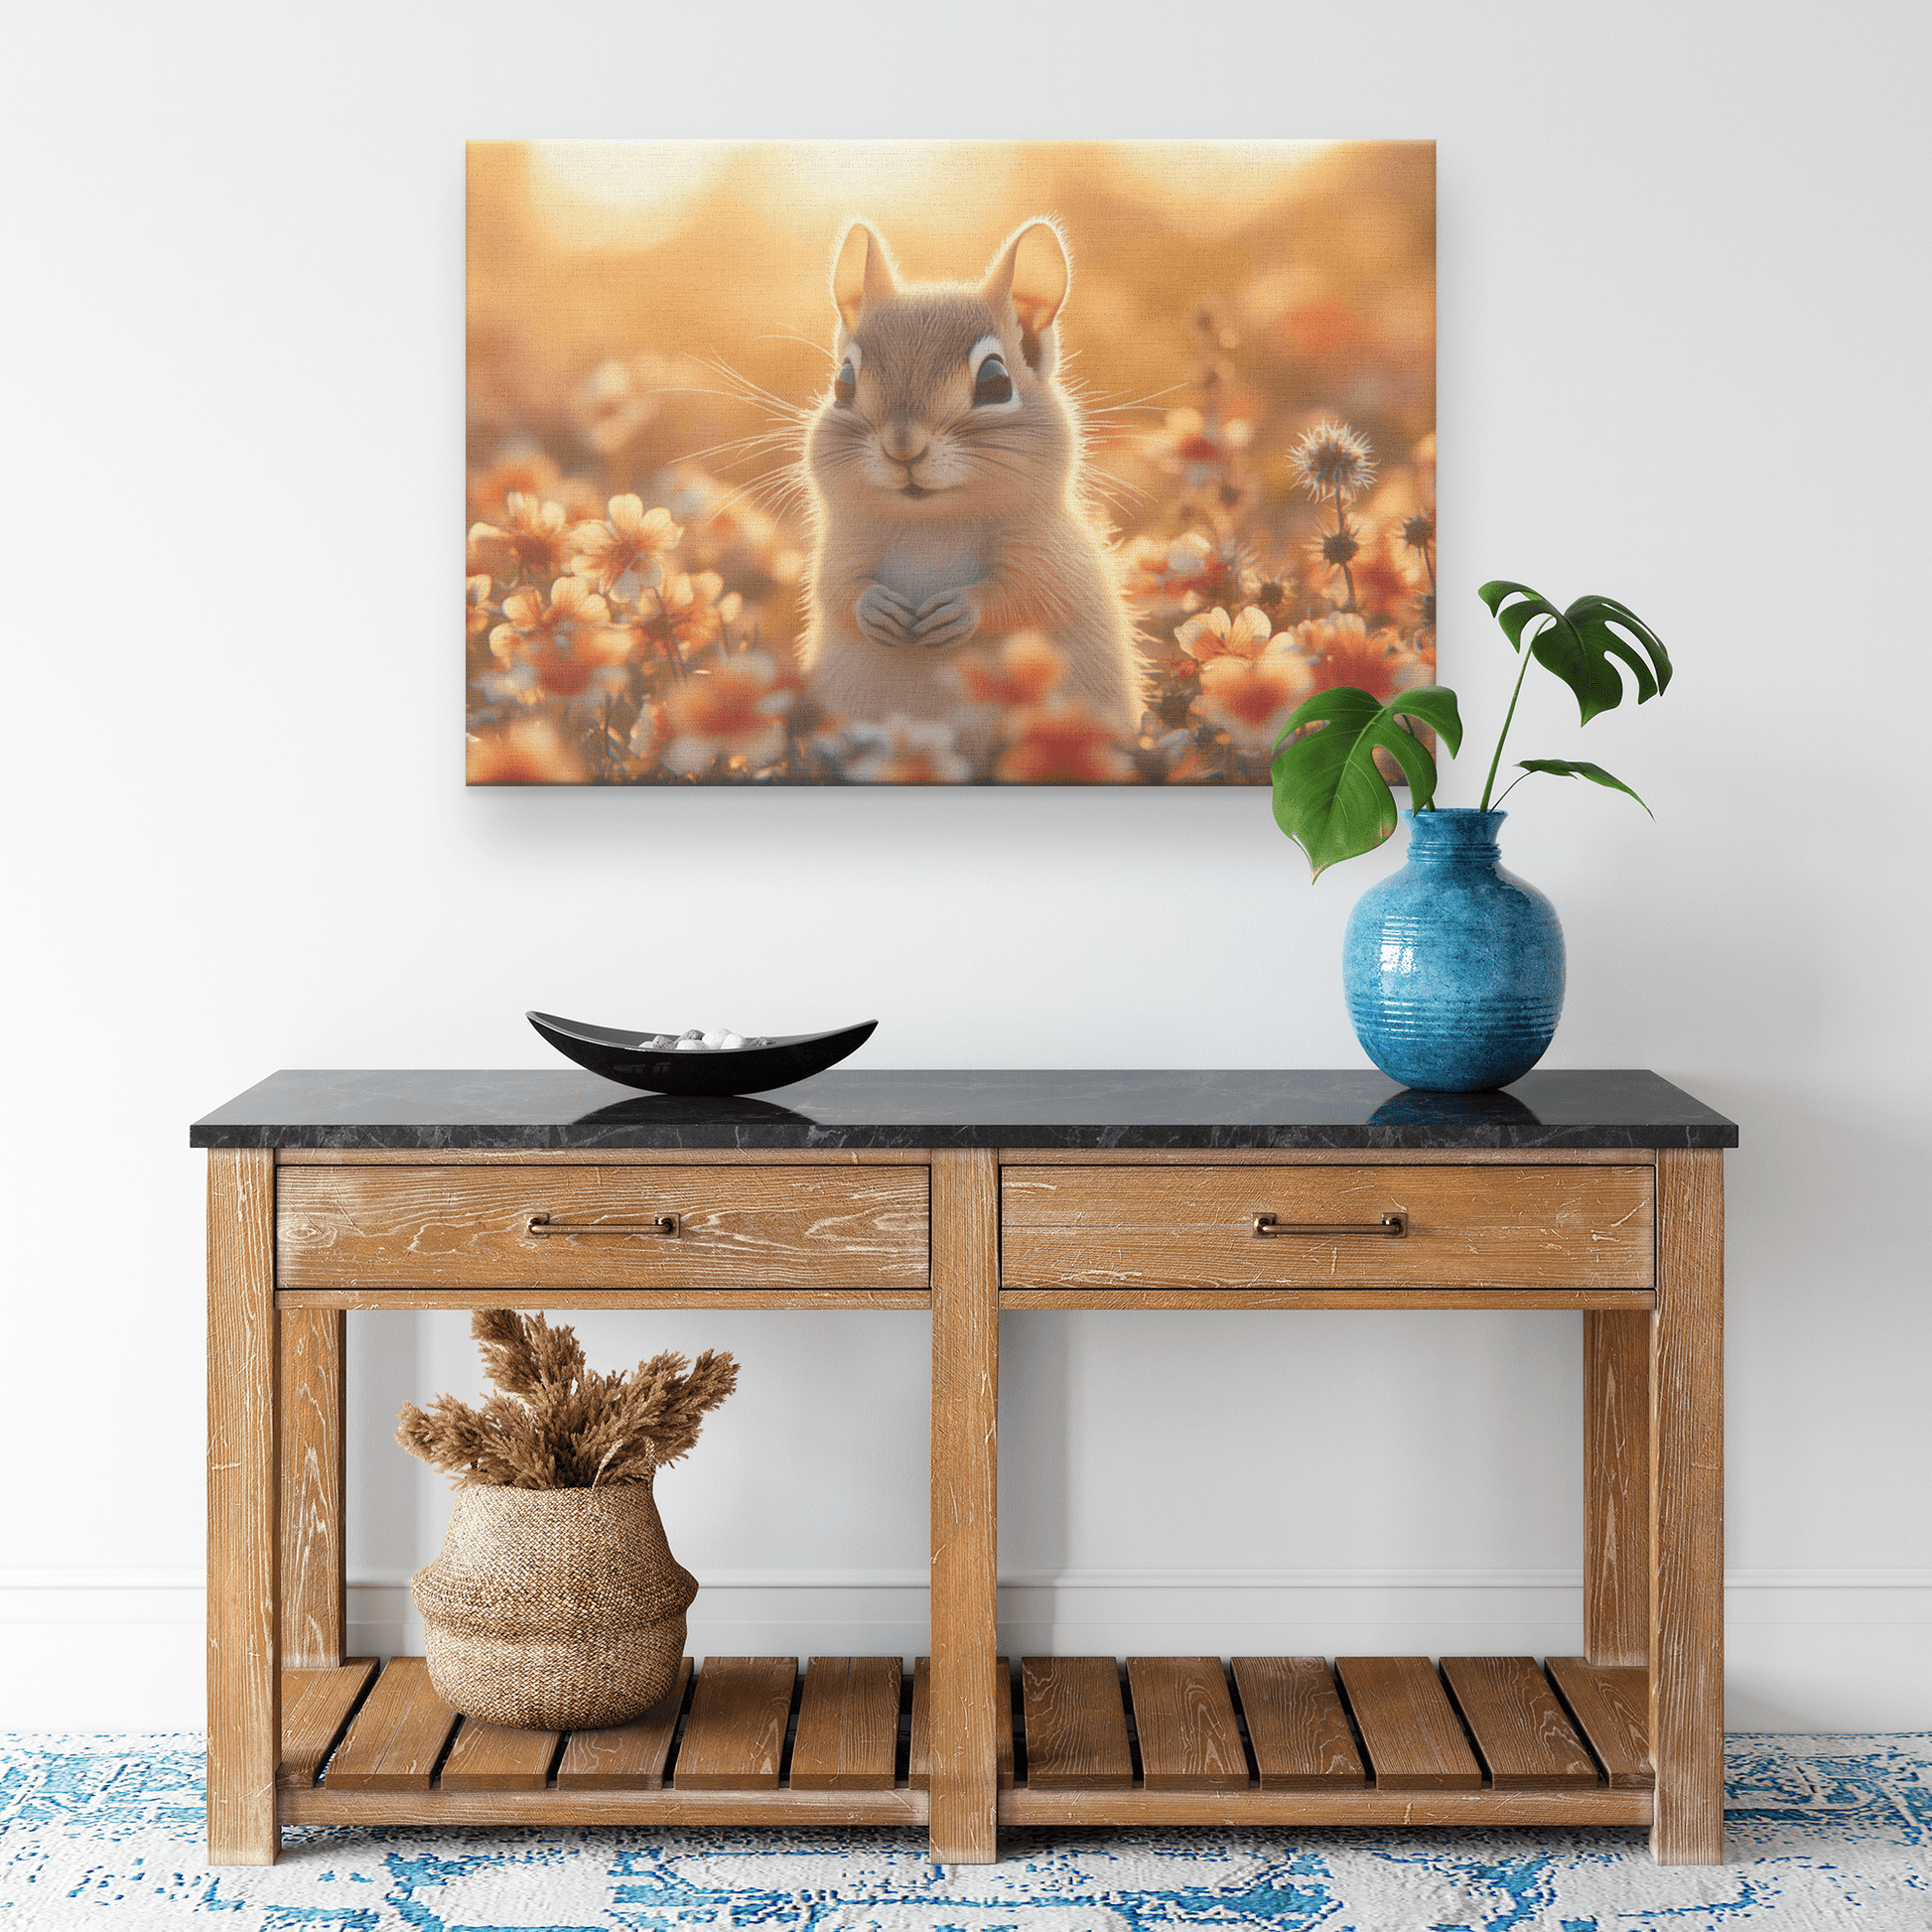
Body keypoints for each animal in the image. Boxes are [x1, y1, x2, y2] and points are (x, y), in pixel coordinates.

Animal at [797, 218, 1146, 734]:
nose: (903, 446)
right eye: (843, 383)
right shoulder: (840, 549)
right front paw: (875, 608)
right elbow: (836, 590)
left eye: (995, 381)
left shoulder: (1050, 557)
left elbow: (1025, 595)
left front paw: (960, 610)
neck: (932, 524)